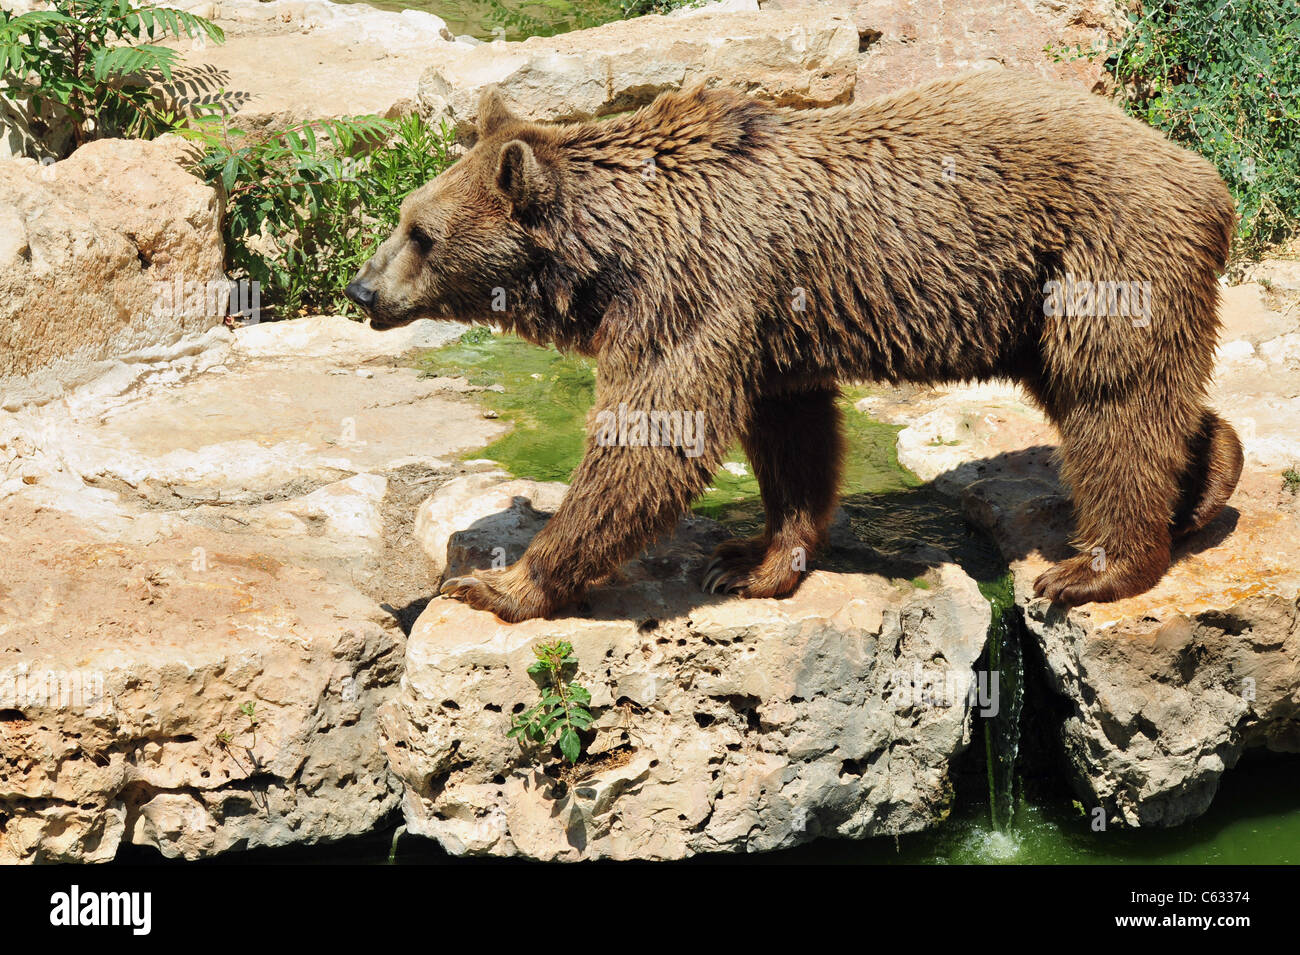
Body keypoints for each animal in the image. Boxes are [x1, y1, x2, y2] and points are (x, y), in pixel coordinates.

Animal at [345, 69, 1243, 623]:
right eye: (403, 215)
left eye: (420, 233)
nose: (361, 289)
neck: (611, 256)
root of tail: (1207, 177)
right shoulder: (773, 323)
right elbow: (791, 436)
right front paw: (753, 557)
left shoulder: (693, 290)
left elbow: (653, 432)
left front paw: (497, 582)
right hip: (1037, 303)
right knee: (1134, 396)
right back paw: (1208, 478)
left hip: (1099, 254)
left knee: (1111, 399)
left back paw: (1095, 566)